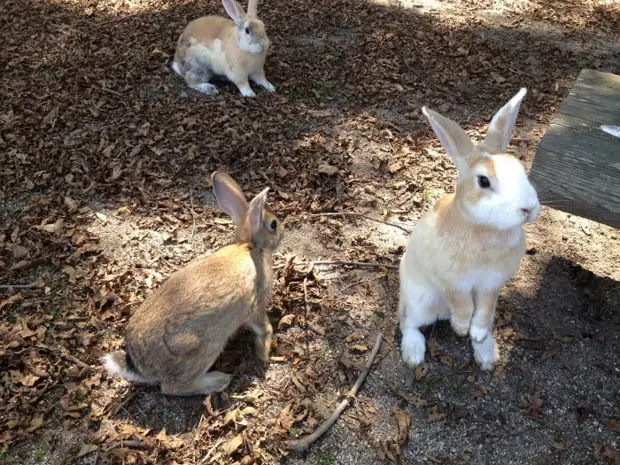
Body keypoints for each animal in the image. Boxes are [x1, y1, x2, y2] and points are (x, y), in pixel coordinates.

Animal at [103, 171, 284, 396]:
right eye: (273, 224)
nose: (282, 231)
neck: (249, 246)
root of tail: (140, 366)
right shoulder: (256, 304)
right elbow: (263, 328)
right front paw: (264, 353)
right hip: (202, 348)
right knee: (172, 387)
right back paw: (218, 380)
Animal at [400, 88, 540, 370]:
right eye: (484, 181)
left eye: (521, 169)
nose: (528, 208)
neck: (484, 229)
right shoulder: (455, 284)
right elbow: (463, 306)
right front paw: (461, 328)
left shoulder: (490, 285)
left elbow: (483, 312)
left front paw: (476, 336)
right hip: (421, 302)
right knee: (408, 322)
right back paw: (414, 354)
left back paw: (486, 352)